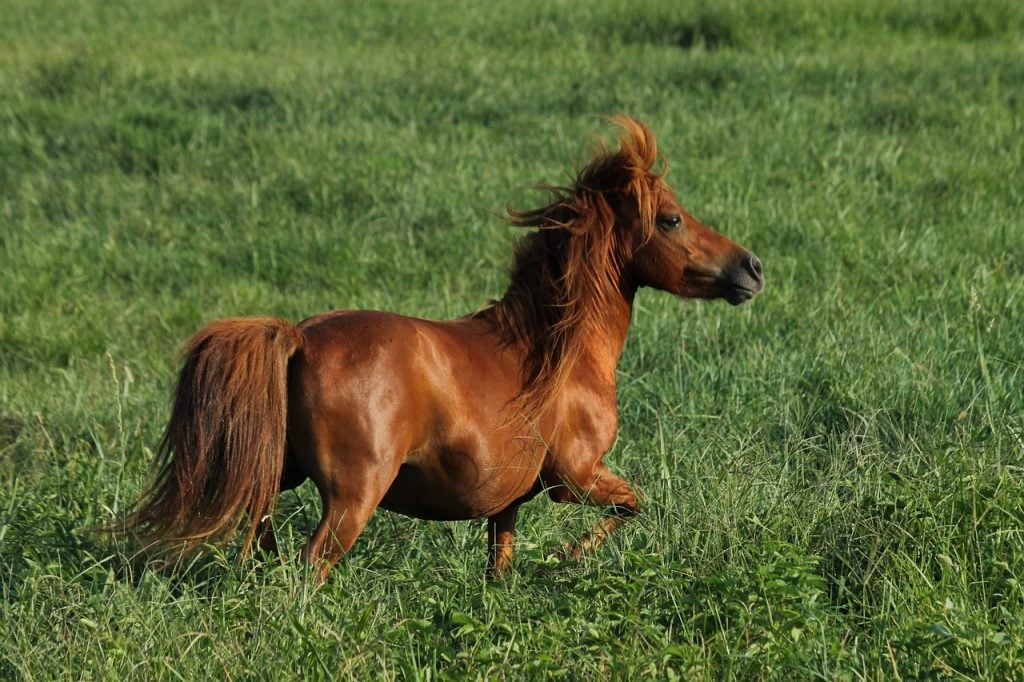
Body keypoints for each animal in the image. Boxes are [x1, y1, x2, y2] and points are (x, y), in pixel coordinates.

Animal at [125, 116, 764, 582]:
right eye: (672, 219)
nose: (752, 268)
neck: (558, 354)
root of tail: (300, 339)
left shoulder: (509, 501)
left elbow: (500, 564)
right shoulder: (576, 477)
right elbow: (633, 505)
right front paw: (566, 557)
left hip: (277, 473)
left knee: (260, 538)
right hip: (352, 497)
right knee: (309, 567)